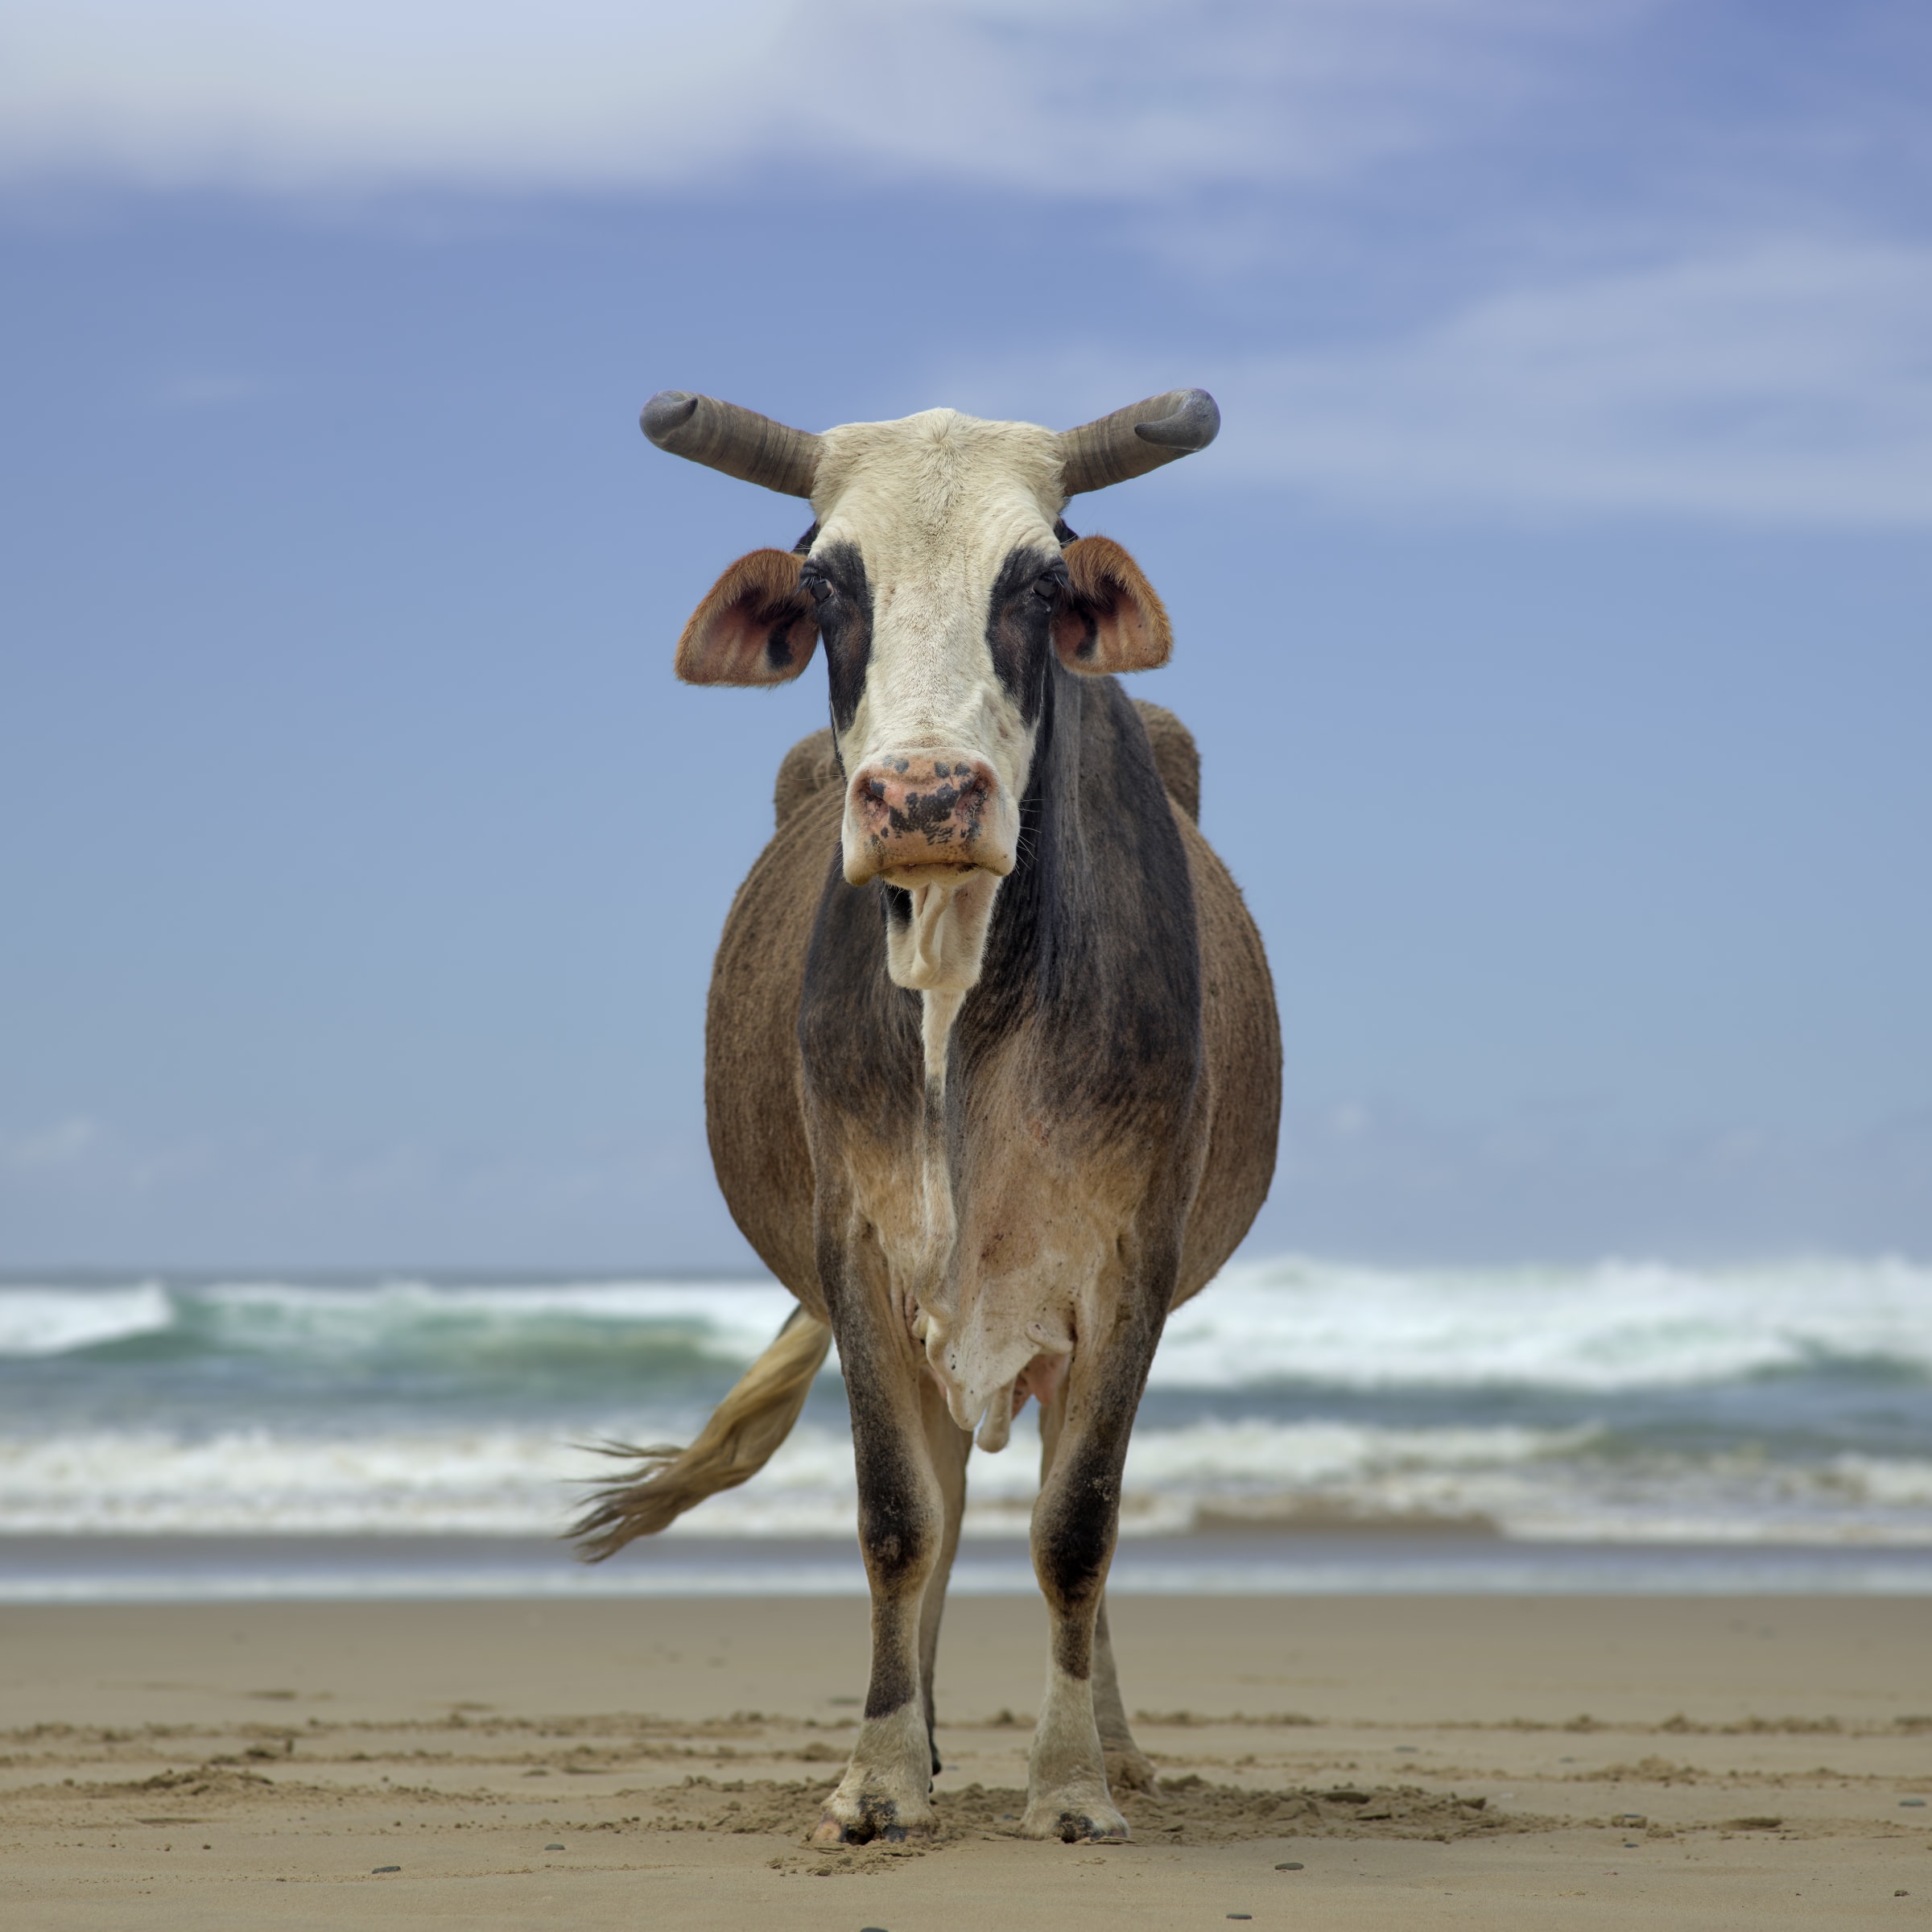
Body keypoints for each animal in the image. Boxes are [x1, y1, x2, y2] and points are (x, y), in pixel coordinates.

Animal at [575, 389, 1280, 1847]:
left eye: (1044, 581)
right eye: (826, 583)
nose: (922, 798)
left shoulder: (1130, 1267)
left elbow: (1079, 1525)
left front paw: (1070, 1782)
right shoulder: (860, 1252)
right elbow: (900, 1518)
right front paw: (881, 1776)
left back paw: (1112, 1747)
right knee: (946, 1507)